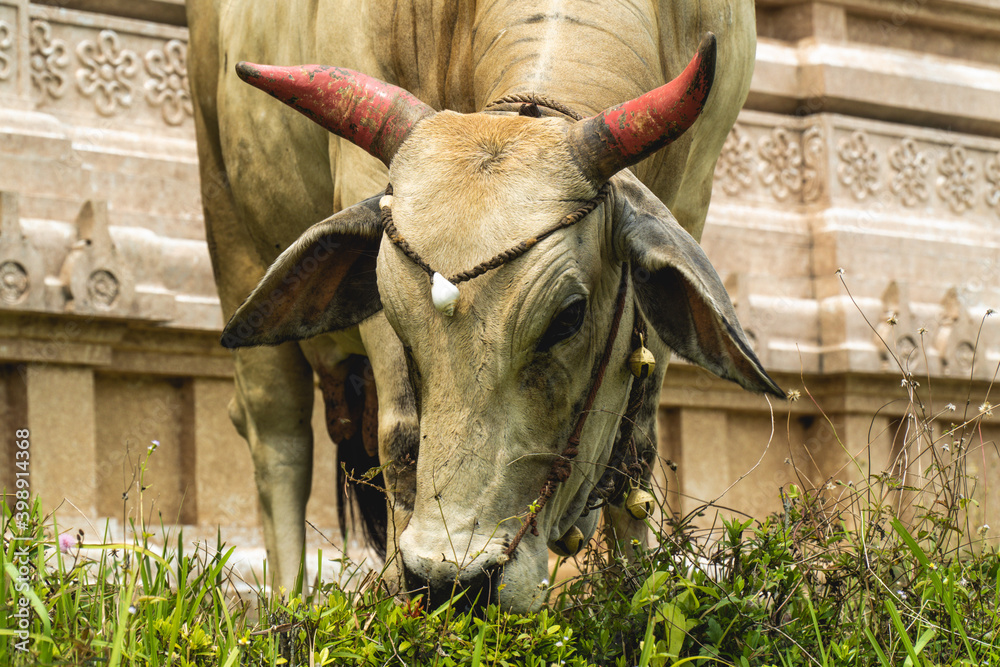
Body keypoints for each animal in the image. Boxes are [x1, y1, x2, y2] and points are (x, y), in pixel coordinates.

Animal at [186, 0, 780, 612]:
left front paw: (639, 598)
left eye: (568, 317)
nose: (454, 583)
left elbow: (637, 452)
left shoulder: (690, 201)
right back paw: (286, 605)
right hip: (228, 227)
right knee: (276, 438)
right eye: (395, 314)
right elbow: (402, 437)